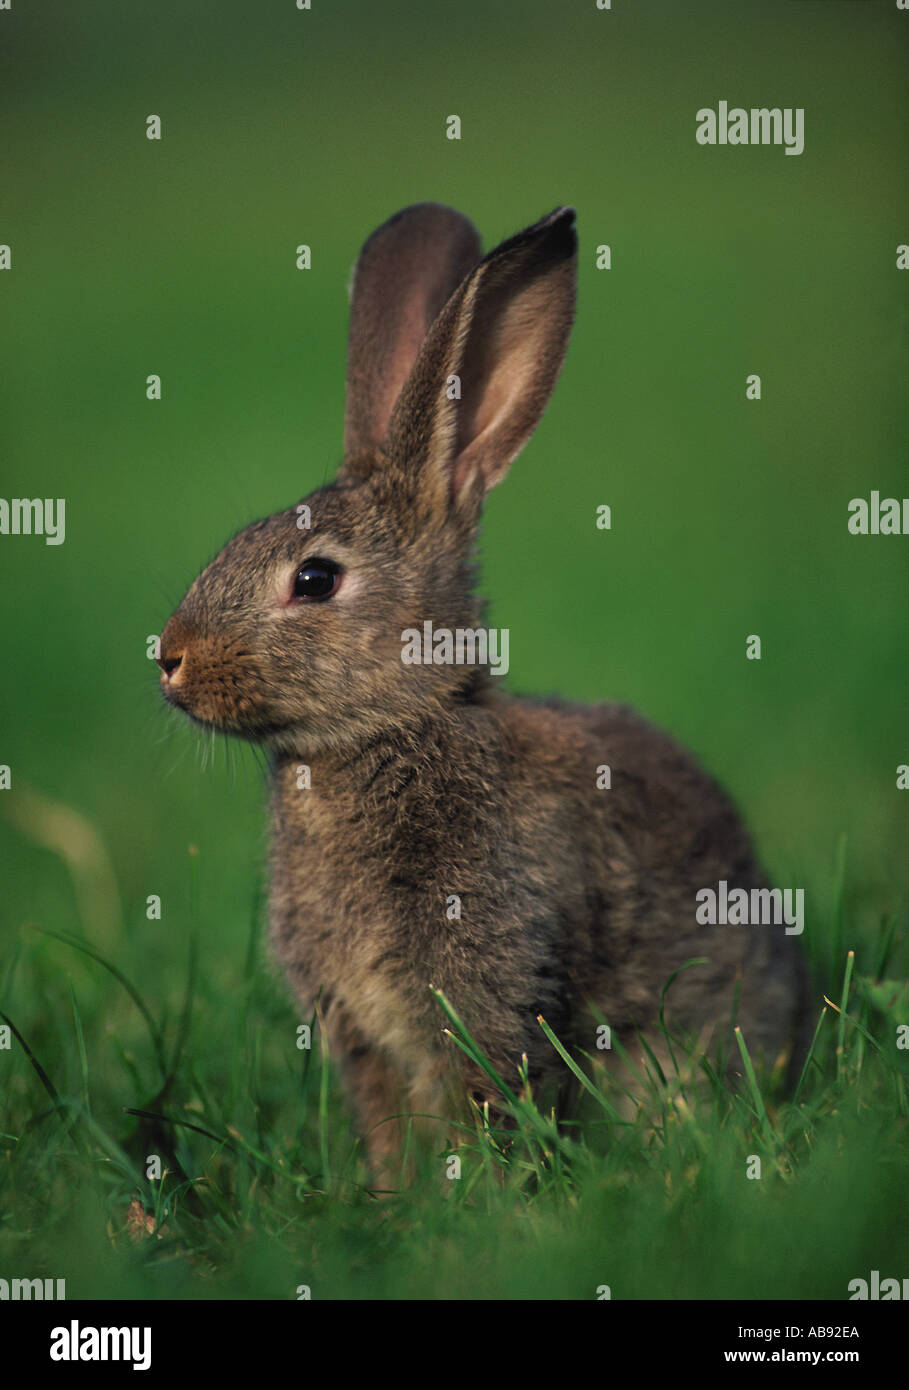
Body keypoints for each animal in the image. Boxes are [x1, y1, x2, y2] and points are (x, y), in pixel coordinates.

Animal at [157, 203, 809, 1179]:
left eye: (314, 580)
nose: (169, 659)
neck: (396, 727)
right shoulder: (360, 1033)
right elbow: (388, 1122)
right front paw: (393, 1198)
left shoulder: (490, 980)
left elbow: (488, 1094)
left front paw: (478, 1198)